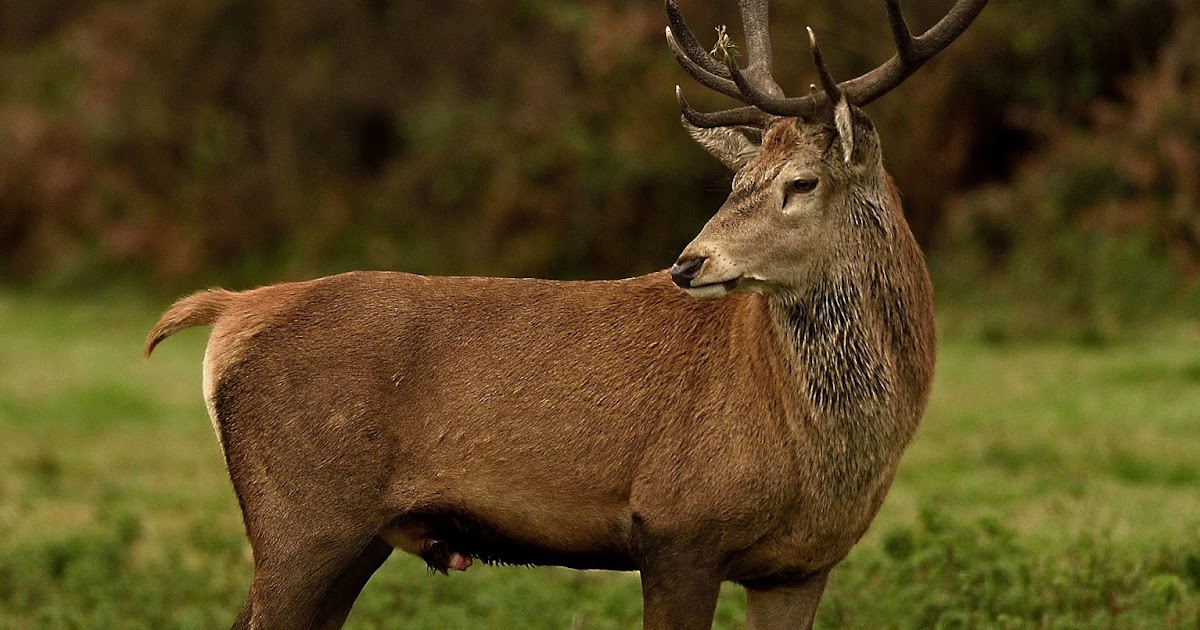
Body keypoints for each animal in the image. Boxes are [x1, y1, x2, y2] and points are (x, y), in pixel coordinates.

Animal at [143, 1, 986, 628]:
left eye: (801, 182)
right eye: (736, 181)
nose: (688, 263)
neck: (811, 448)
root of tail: (234, 312)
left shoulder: (802, 565)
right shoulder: (677, 525)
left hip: (348, 537)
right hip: (302, 518)